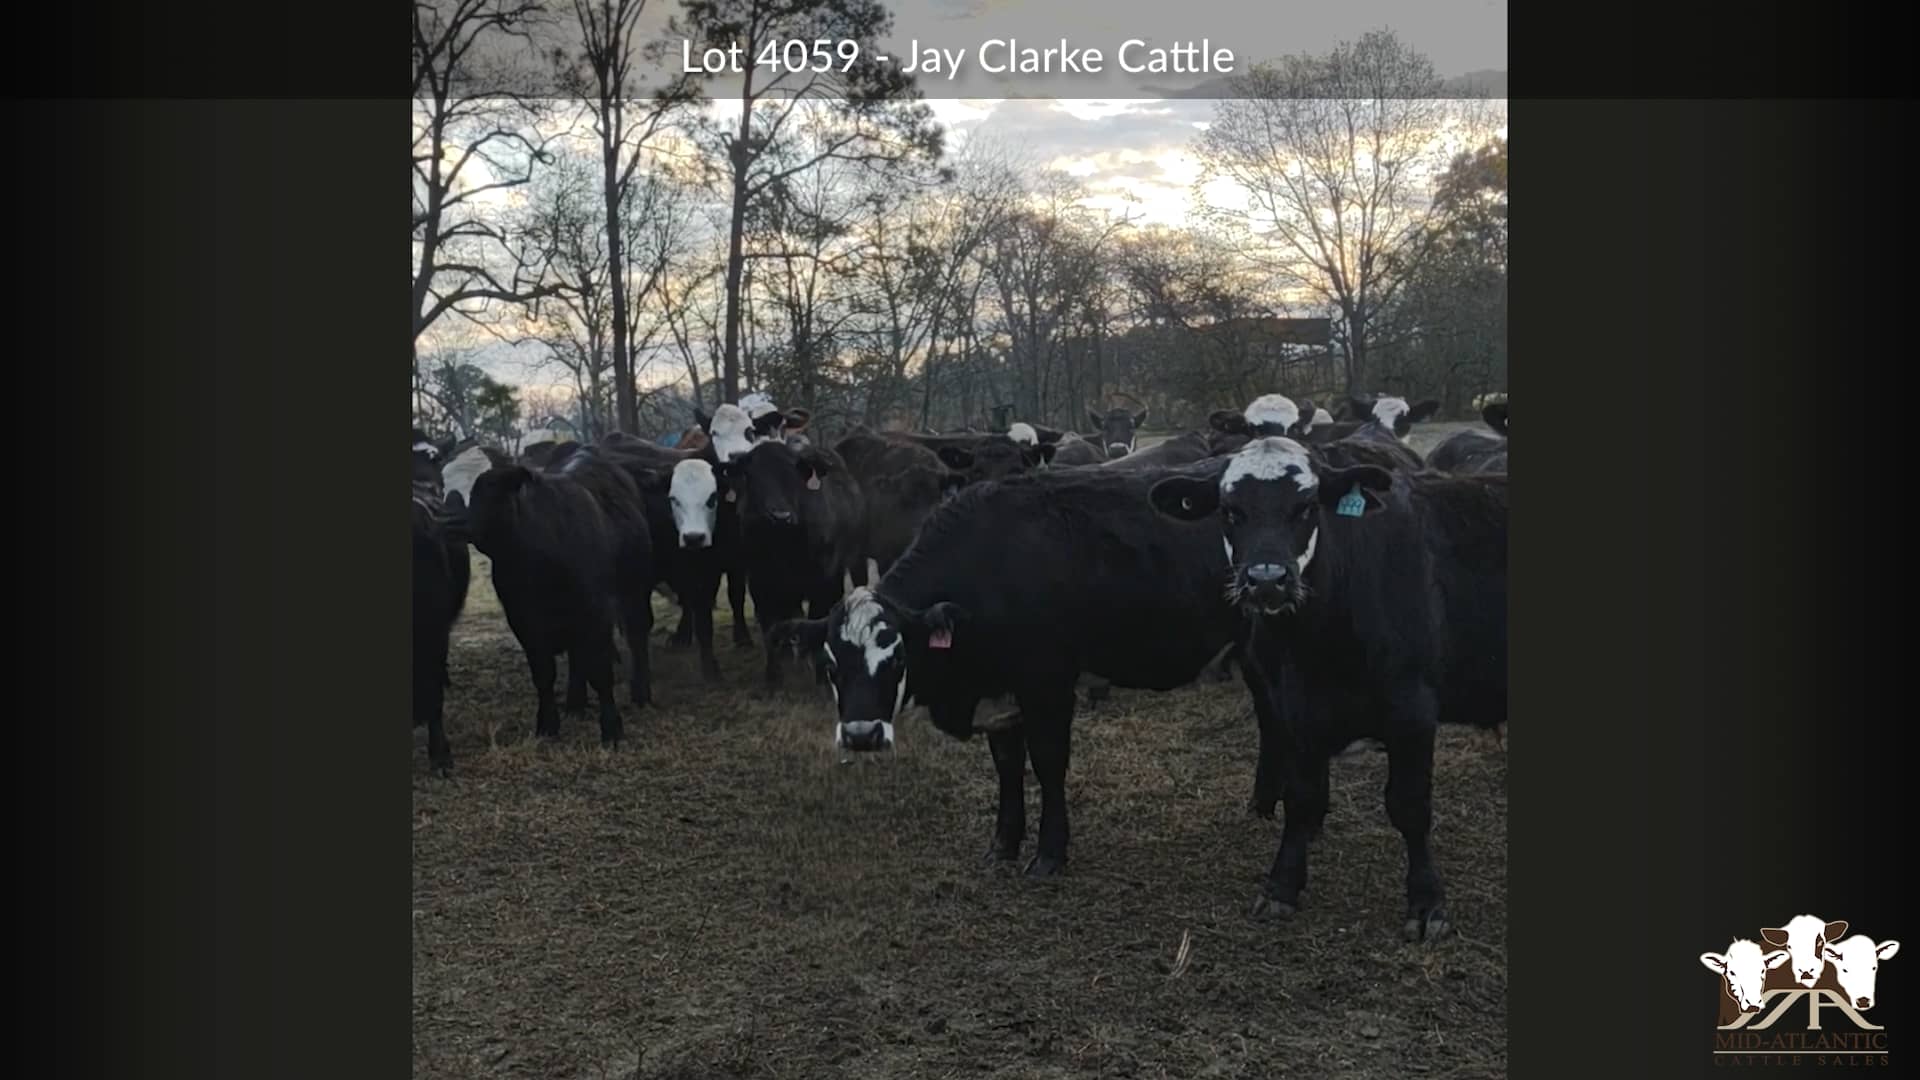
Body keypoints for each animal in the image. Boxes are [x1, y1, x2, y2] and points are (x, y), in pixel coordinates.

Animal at [458, 448, 656, 745]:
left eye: (493, 491)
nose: (464, 528)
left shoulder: (596, 612)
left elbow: (600, 671)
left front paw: (611, 728)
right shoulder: (523, 621)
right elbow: (544, 674)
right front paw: (547, 725)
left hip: (633, 590)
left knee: (636, 635)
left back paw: (641, 693)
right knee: (578, 657)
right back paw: (575, 703)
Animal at [718, 438, 866, 687]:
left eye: (793, 475)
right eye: (753, 476)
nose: (780, 517)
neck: (784, 546)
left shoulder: (822, 580)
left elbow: (816, 616)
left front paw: (821, 676)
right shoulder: (760, 582)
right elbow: (770, 625)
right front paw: (773, 676)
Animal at [768, 463, 1241, 877]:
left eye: (898, 657)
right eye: (830, 664)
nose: (861, 735)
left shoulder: (1048, 687)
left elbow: (1048, 764)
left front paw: (1049, 854)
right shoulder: (999, 696)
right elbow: (1008, 766)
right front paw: (1003, 845)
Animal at [1148, 437, 1507, 941]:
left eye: (1306, 506)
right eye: (1230, 510)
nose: (1266, 579)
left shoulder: (1413, 709)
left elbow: (1410, 805)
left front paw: (1426, 903)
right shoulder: (1297, 710)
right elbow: (1301, 799)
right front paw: (1282, 886)